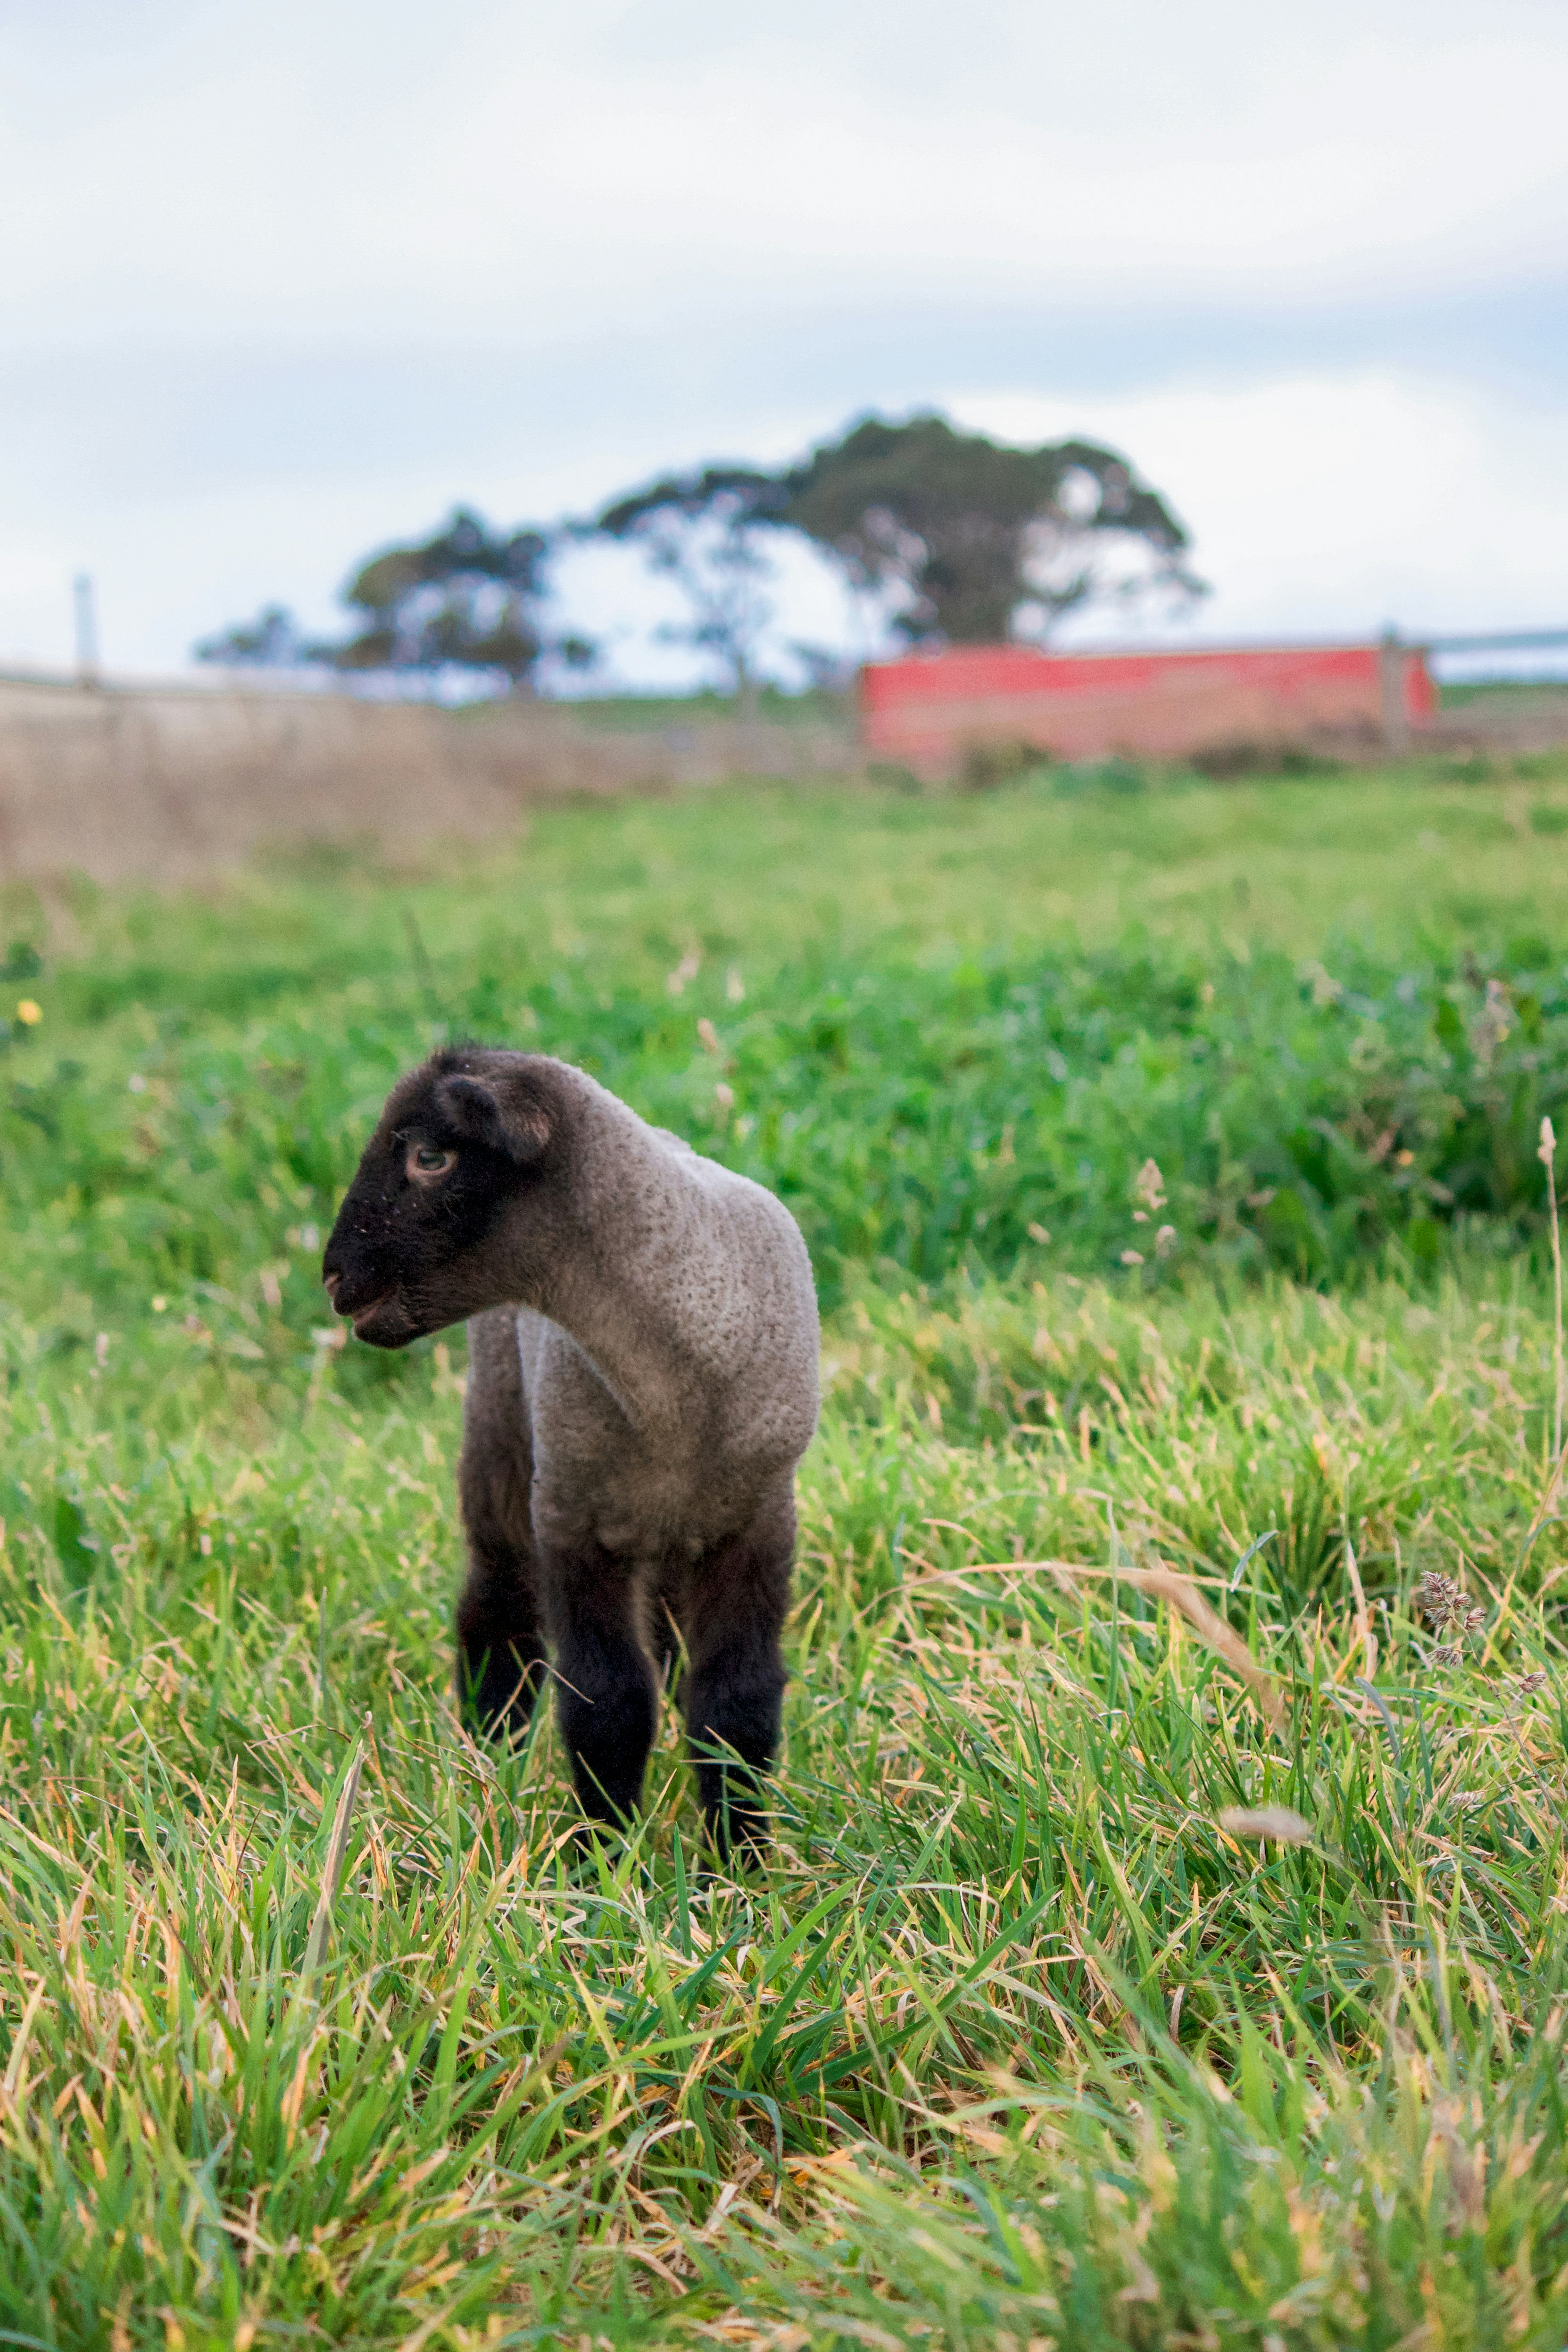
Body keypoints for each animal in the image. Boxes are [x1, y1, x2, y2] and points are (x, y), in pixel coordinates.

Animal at [321, 1045, 820, 1859]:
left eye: (430, 1156)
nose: (334, 1278)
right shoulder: (572, 1520)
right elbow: (606, 1704)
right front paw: (602, 1860)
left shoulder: (760, 1521)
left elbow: (735, 1707)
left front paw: (741, 1863)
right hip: (499, 1440)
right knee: (496, 1612)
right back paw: (489, 1751)